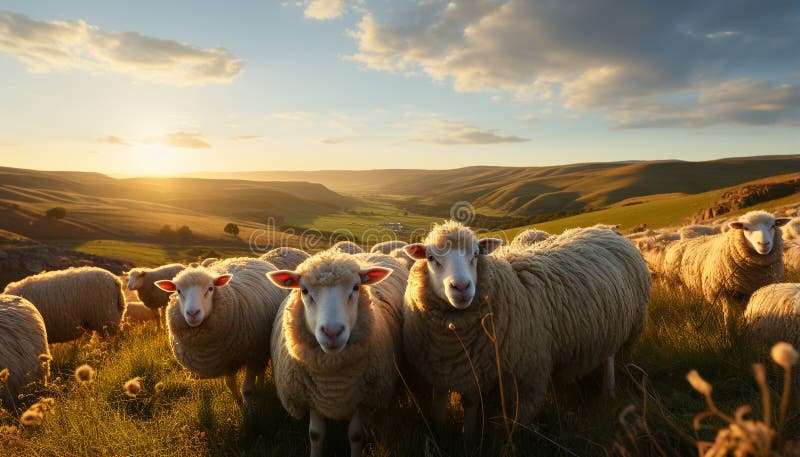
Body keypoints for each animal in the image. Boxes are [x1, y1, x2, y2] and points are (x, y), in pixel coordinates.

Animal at [156, 257, 287, 413]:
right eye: (178, 290)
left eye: (210, 289)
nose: (193, 313)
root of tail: (245, 258)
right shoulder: (225, 361)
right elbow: (230, 385)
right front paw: (238, 403)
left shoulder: (252, 355)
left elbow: (247, 390)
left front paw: (249, 412)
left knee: (261, 369)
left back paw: (261, 387)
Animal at [267, 251, 407, 457]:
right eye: (304, 290)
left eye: (356, 287)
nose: (332, 332)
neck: (332, 380)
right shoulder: (312, 399)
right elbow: (316, 434)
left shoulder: (361, 399)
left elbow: (355, 435)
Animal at [401, 221, 650, 440]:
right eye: (431, 258)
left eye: (476, 254)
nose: (461, 287)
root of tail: (603, 228)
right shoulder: (453, 372)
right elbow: (448, 410)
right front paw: (456, 437)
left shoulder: (529, 375)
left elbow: (518, 421)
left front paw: (506, 443)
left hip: (631, 327)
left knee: (612, 358)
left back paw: (609, 390)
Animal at [662, 211, 791, 329]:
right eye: (746, 228)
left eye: (773, 226)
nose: (763, 244)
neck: (754, 275)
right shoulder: (723, 292)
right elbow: (728, 316)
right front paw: (729, 332)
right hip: (678, 282)